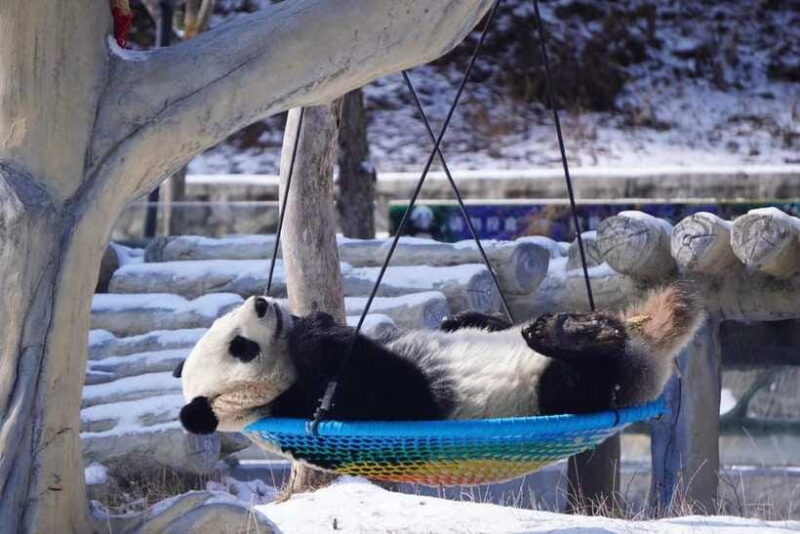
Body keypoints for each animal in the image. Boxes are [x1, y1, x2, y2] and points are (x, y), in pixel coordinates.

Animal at [175, 284, 702, 436]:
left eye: (229, 324)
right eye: (241, 347)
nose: (262, 302)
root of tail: (648, 352)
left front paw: (313, 319)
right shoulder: (328, 403)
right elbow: (397, 387)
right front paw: (314, 331)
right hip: (556, 391)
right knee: (584, 377)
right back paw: (577, 334)